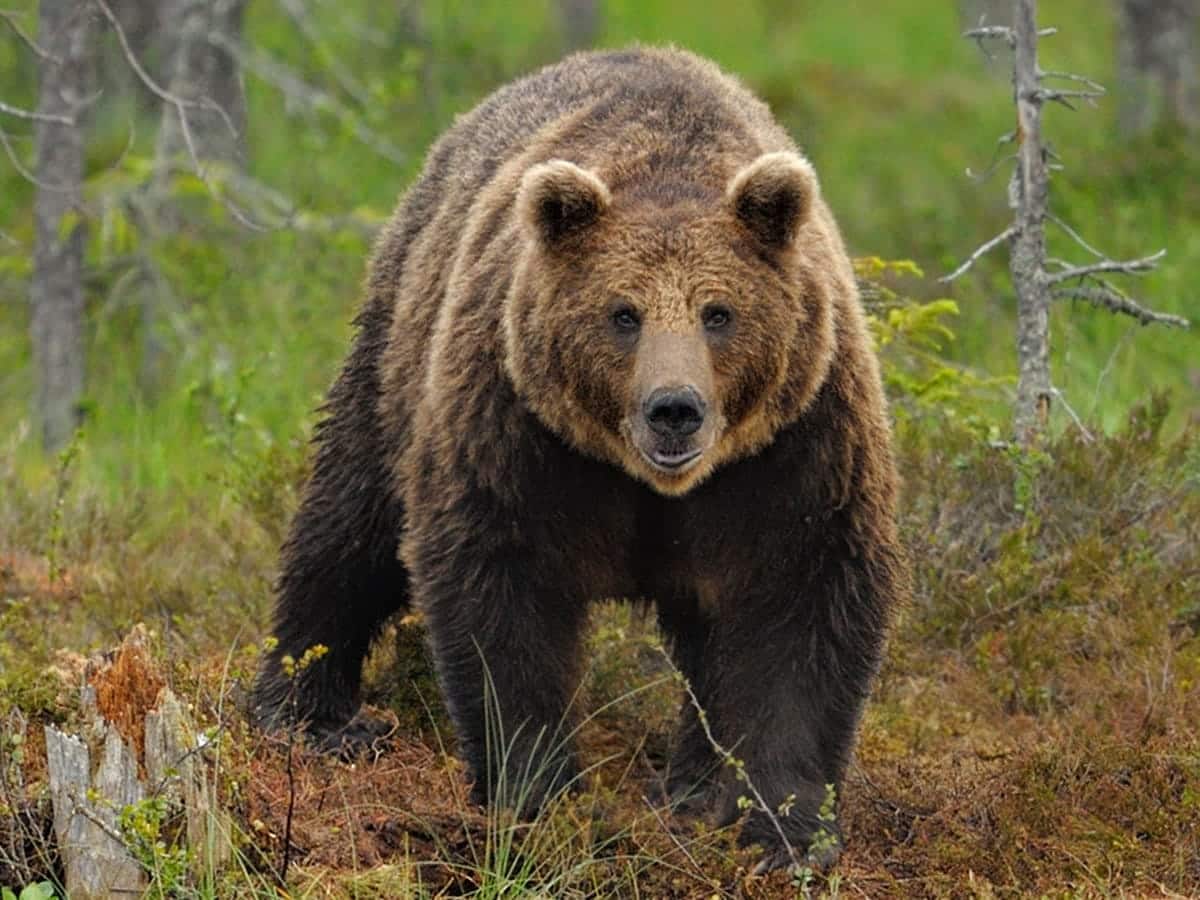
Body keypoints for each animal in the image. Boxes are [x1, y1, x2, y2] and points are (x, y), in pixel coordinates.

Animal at [252, 46, 907, 870]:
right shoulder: (518, 431)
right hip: (398, 348)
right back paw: (310, 711)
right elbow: (505, 594)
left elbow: (803, 601)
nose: (674, 408)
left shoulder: (795, 449)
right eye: (622, 314)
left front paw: (780, 830)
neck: (647, 482)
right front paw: (541, 795)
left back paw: (690, 785)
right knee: (351, 518)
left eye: (718, 313)